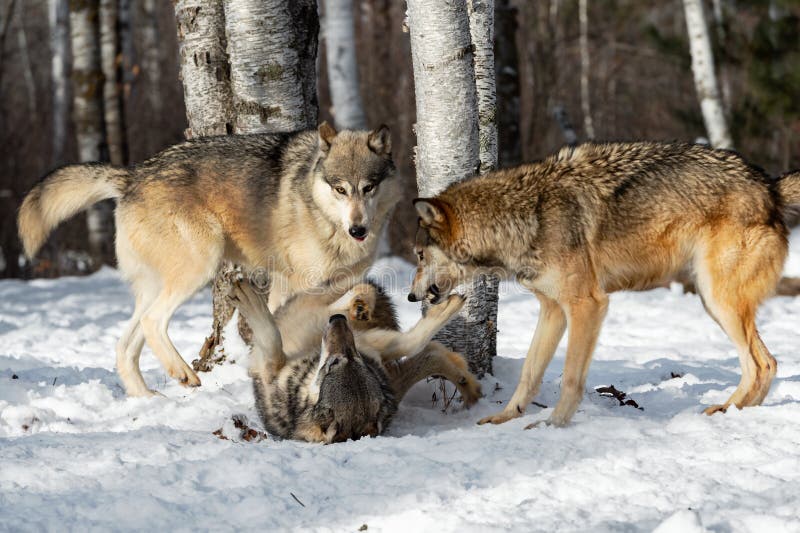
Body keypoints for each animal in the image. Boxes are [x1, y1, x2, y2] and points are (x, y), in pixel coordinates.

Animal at [17, 122, 399, 397]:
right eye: (340, 189)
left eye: (368, 187)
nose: (358, 229)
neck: (327, 221)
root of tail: (133, 174)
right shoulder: (293, 285)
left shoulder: (334, 281)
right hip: (201, 265)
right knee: (153, 322)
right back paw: (184, 373)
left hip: (155, 287)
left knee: (126, 345)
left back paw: (150, 398)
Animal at [228, 279, 481, 443]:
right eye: (335, 363)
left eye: (348, 360)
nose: (338, 321)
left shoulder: (270, 362)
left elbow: (271, 335)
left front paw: (251, 303)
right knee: (425, 346)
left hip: (370, 338)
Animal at [409, 141, 800, 427]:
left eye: (419, 255)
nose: (411, 296)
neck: (525, 217)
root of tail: (769, 184)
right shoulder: (553, 310)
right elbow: (529, 373)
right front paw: (506, 417)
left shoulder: (587, 305)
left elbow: (570, 378)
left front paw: (553, 424)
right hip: (712, 301)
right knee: (768, 364)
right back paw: (737, 411)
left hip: (718, 300)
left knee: (761, 365)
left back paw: (725, 411)